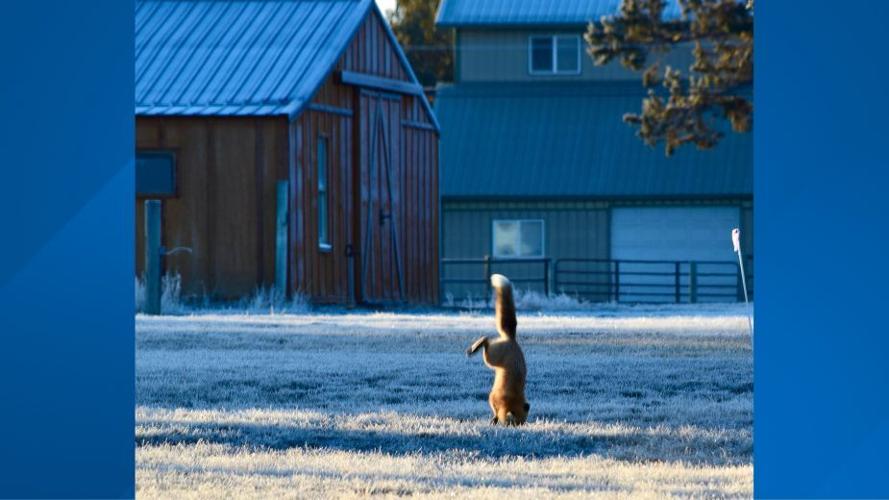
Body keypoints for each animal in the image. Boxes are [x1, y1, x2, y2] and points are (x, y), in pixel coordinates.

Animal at [466, 274, 530, 426]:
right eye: (514, 424)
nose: (517, 428)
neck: (512, 398)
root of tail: (512, 338)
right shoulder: (493, 397)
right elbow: (494, 409)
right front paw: (494, 420)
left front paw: (494, 420)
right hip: (491, 358)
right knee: (486, 339)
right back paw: (475, 347)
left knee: (487, 339)